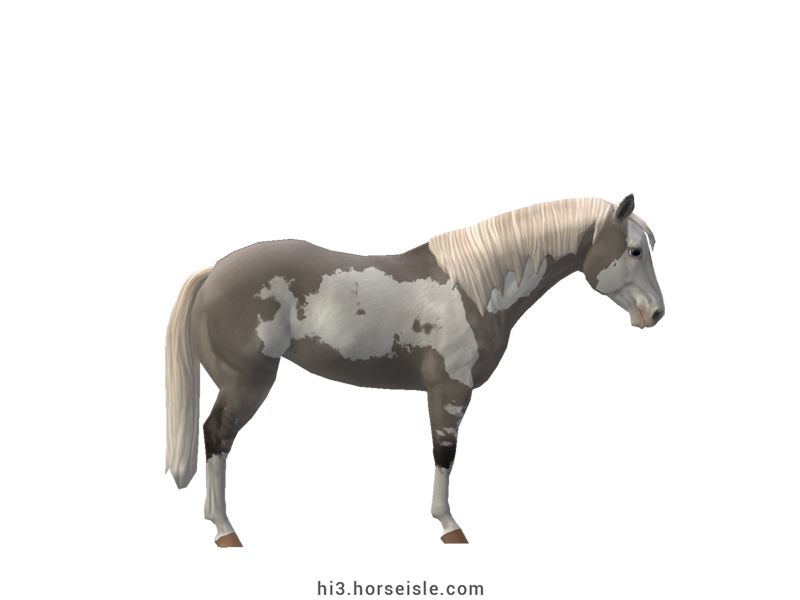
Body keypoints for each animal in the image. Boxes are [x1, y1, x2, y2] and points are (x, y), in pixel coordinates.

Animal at [165, 196, 664, 538]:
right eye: (636, 250)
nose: (656, 313)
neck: (475, 287)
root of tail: (213, 273)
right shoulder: (451, 386)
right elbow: (444, 452)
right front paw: (446, 524)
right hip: (244, 380)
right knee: (216, 436)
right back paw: (224, 528)